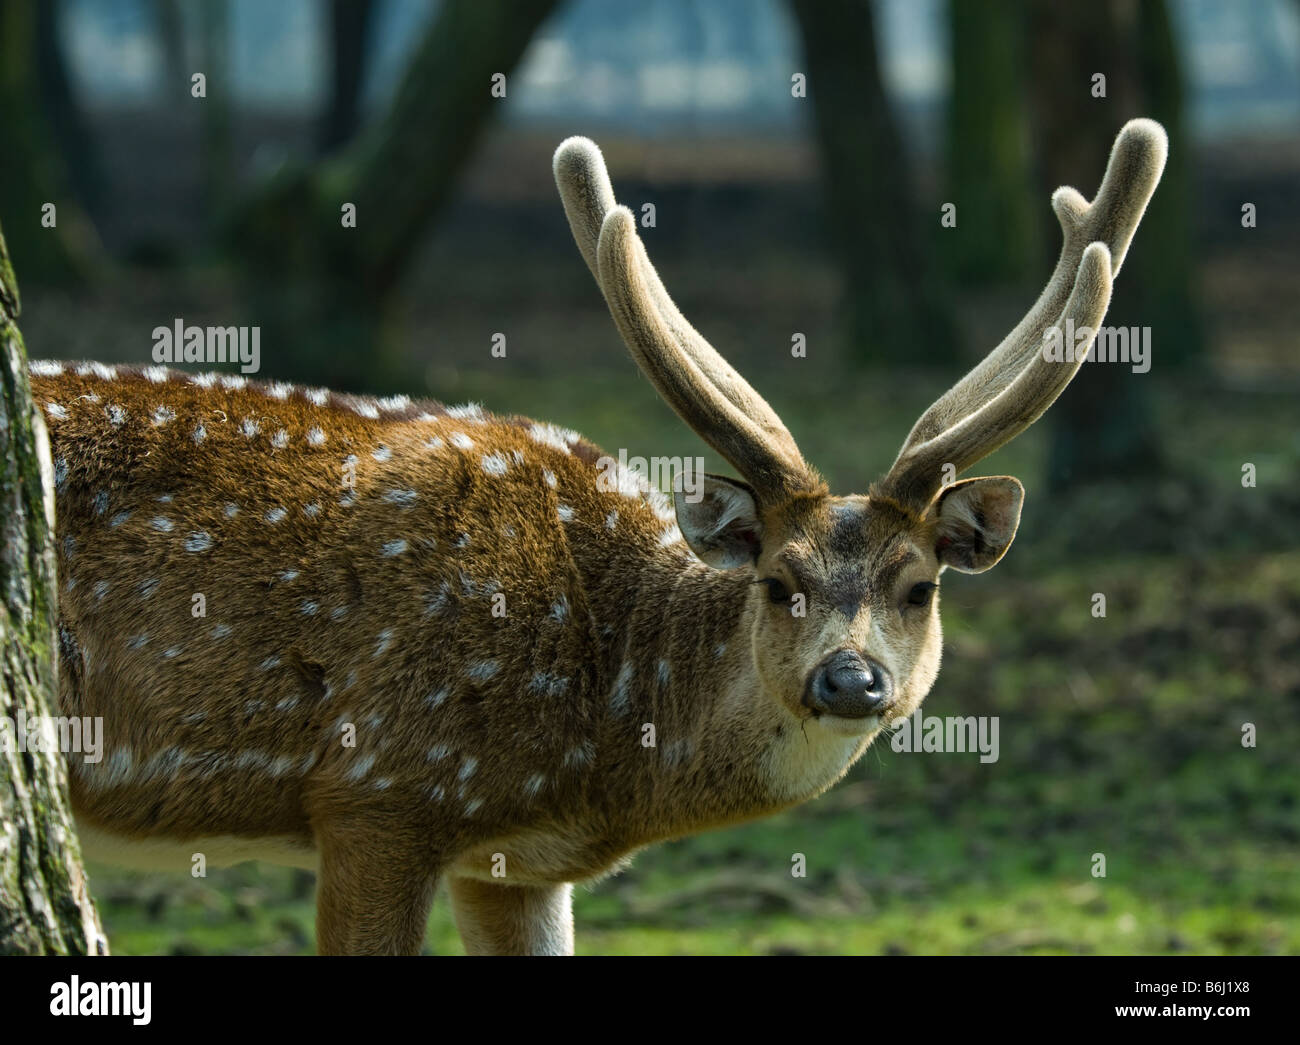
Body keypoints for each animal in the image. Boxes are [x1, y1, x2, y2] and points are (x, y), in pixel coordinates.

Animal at [27, 118, 1166, 955]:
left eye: (919, 585)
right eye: (778, 579)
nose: (852, 679)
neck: (597, 745)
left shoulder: (513, 863)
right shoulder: (379, 789)